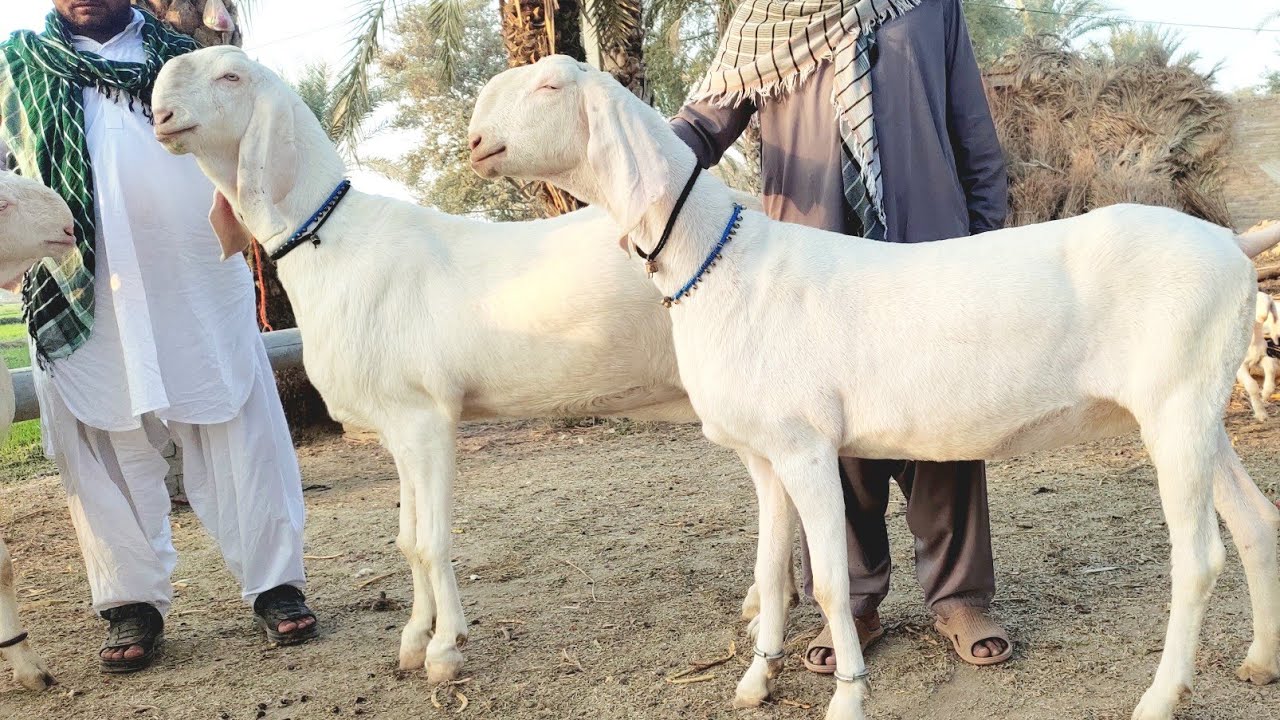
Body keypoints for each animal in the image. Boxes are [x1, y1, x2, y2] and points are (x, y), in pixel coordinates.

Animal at [146, 46, 761, 683]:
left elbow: (431, 541)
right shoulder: (398, 424)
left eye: (230, 76)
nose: (161, 115)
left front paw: (444, 650)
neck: (332, 241)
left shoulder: (426, 419)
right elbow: (406, 538)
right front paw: (414, 638)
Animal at [1238, 291, 1280, 422]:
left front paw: (1266, 393)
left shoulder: (1259, 357)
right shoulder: (1240, 367)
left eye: (1270, 305)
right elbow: (1252, 385)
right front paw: (1261, 414)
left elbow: (1270, 366)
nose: (1262, 317)